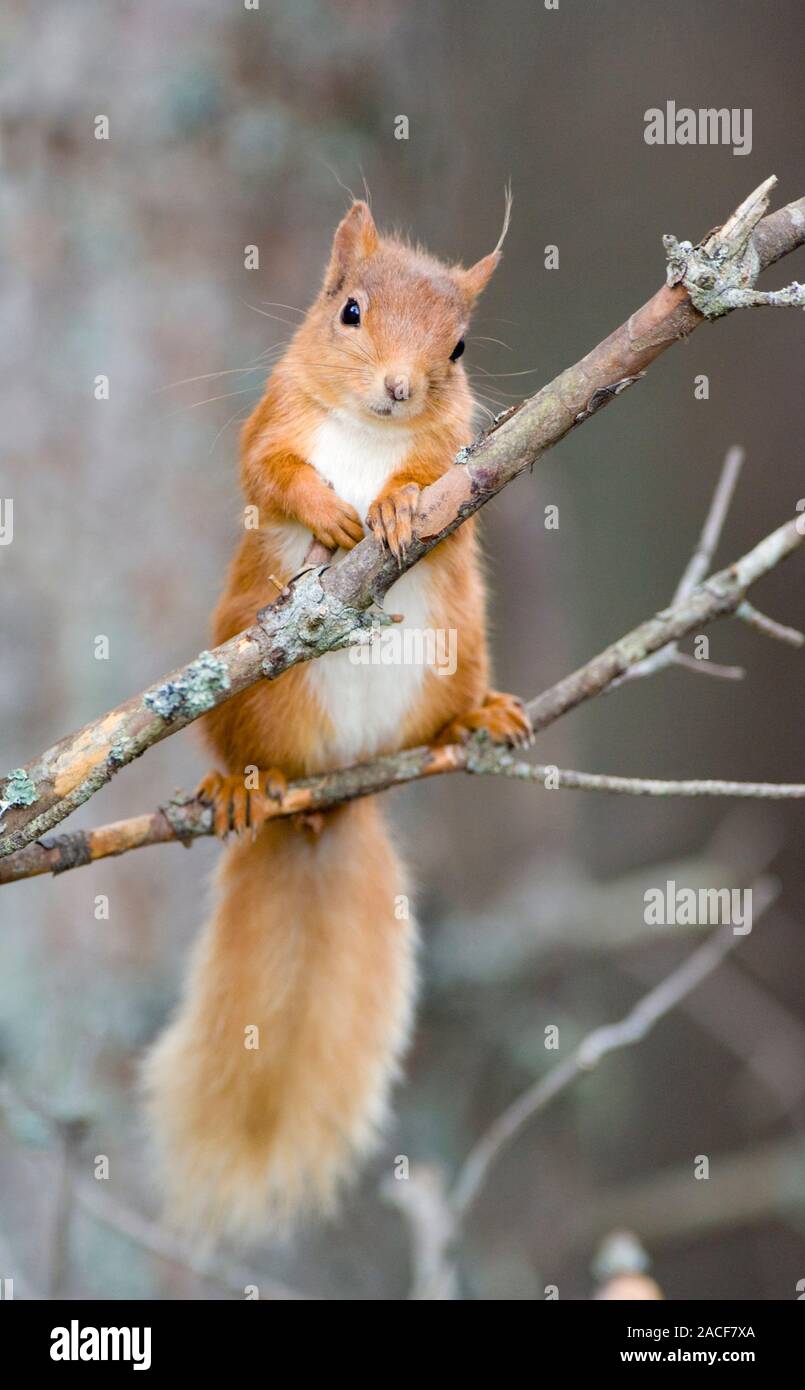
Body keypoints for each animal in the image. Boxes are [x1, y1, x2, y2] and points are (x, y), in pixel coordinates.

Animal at [142, 200, 531, 1242]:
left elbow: (435, 477)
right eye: (348, 311)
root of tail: (333, 795)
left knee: (444, 715)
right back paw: (244, 787)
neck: (362, 430)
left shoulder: (458, 456)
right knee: (244, 751)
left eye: (459, 347)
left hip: (456, 650)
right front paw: (328, 511)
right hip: (246, 684)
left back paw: (477, 720)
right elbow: (266, 472)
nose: (399, 389)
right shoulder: (268, 421)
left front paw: (392, 504)